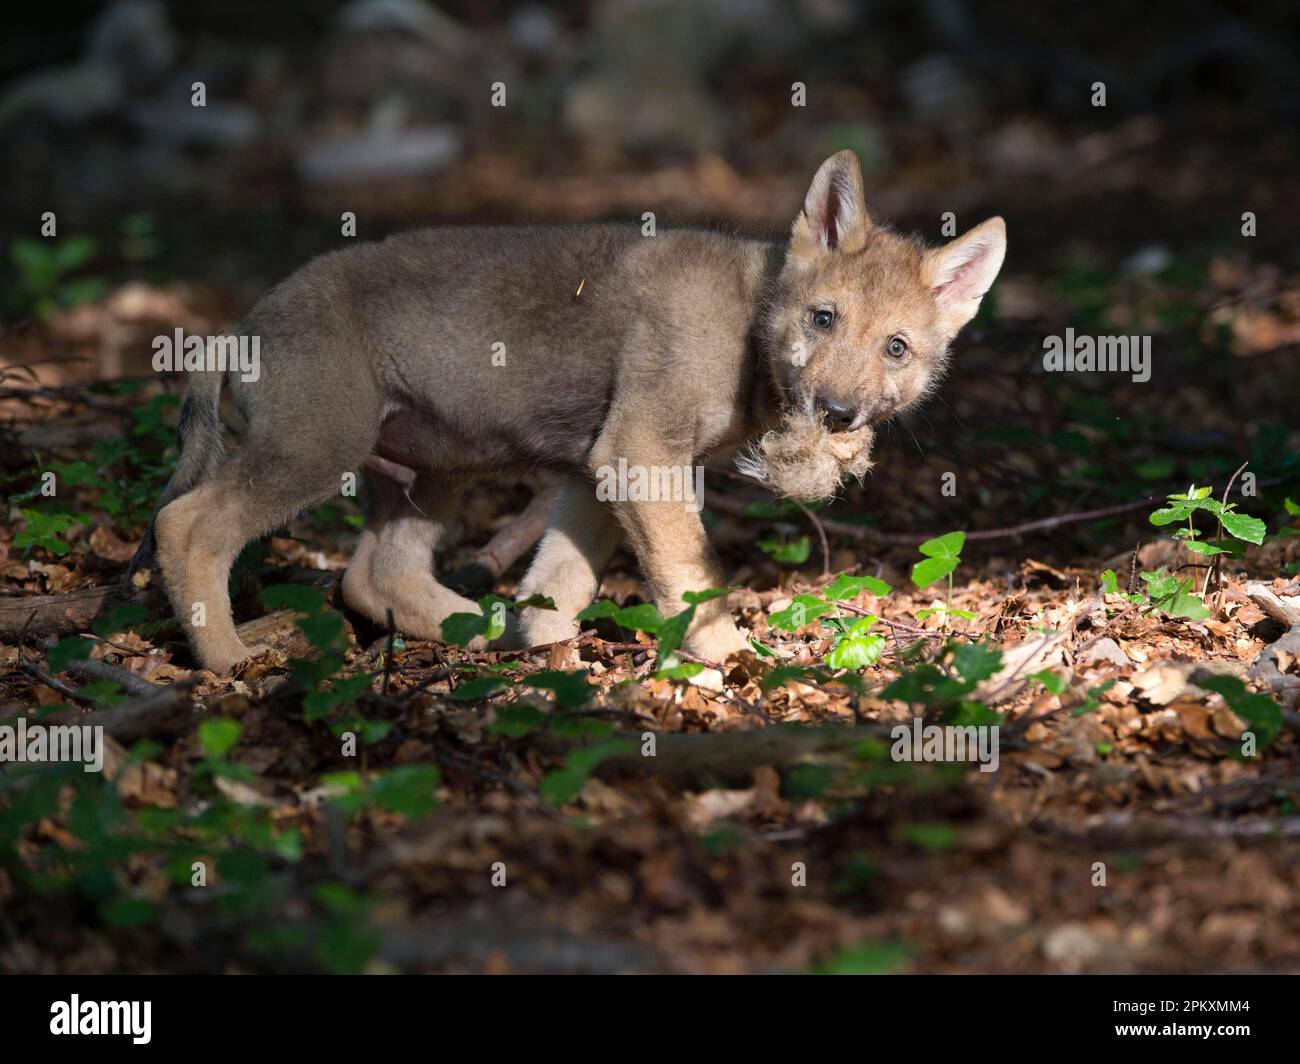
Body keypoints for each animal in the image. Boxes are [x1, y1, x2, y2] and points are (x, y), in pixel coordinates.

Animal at [132, 150, 1005, 674]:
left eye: (896, 348)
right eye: (823, 320)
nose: (838, 412)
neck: (751, 320)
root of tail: (242, 323)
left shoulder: (598, 474)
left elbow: (563, 581)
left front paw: (548, 659)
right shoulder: (638, 453)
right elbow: (693, 576)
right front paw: (725, 656)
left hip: (426, 472)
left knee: (374, 577)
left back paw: (478, 628)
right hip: (319, 448)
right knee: (189, 526)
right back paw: (228, 659)